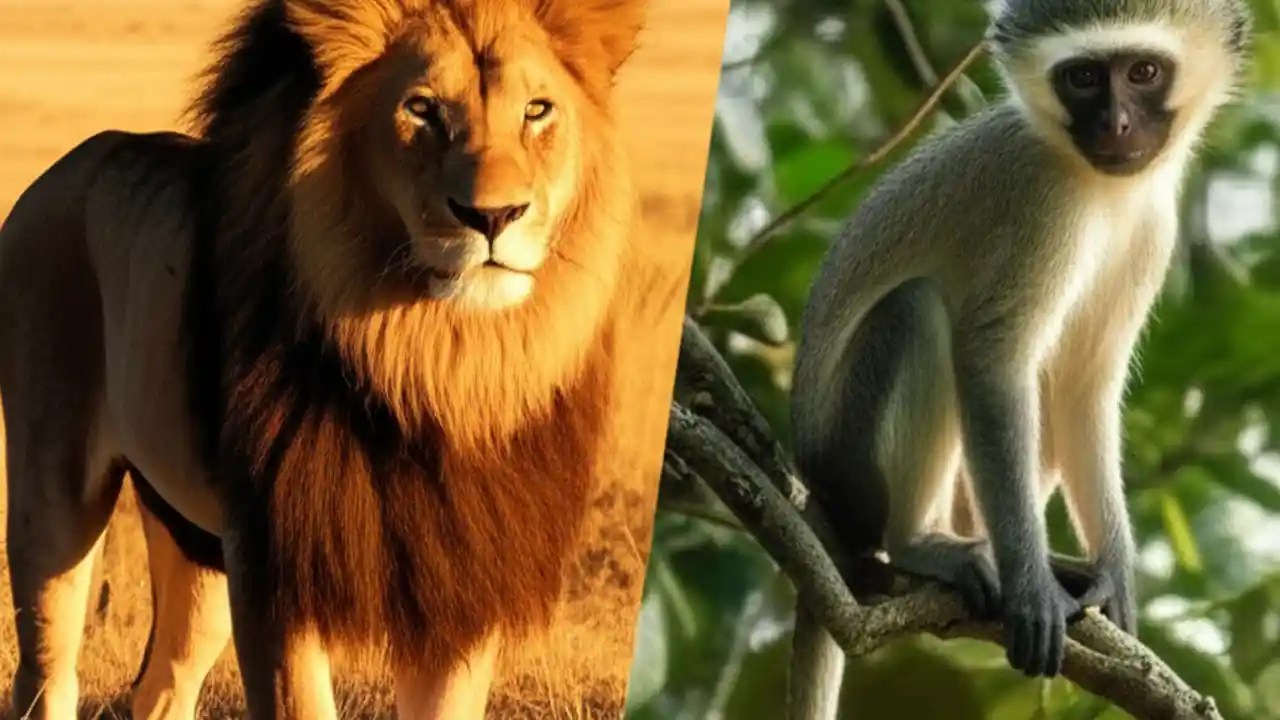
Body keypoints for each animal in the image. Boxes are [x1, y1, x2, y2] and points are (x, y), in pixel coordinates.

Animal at [0, 0, 647, 717]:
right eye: (421, 109)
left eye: (537, 110)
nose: (493, 215)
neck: (433, 372)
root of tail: (54, 174)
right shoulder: (272, 570)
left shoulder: (459, 585)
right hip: (55, 502)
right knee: (45, 678)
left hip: (196, 541)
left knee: (161, 687)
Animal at [786, 0, 1252, 709]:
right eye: (1082, 78)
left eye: (1143, 72)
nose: (1116, 123)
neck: (1096, 186)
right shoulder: (1041, 205)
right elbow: (992, 360)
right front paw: (1031, 588)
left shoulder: (1154, 226)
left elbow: (1085, 384)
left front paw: (1113, 573)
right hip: (849, 457)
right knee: (916, 312)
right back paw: (923, 544)